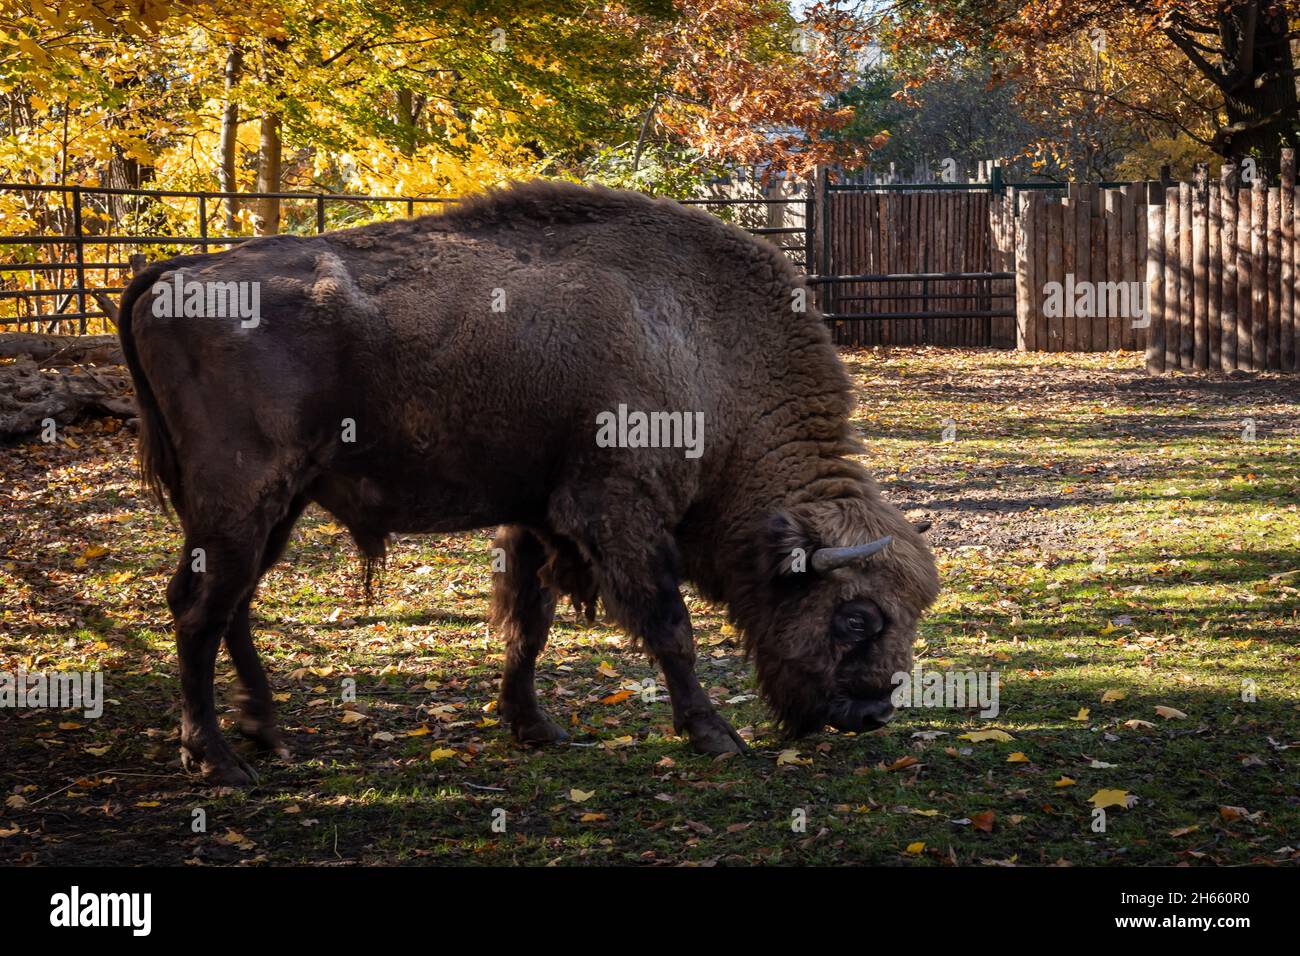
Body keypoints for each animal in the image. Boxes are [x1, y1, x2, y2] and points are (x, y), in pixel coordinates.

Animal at [117, 181, 939, 785]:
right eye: (854, 618)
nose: (873, 713)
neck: (700, 341)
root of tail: (174, 274)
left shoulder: (538, 518)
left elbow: (529, 622)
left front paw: (534, 726)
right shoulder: (618, 514)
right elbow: (668, 626)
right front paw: (714, 735)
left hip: (275, 506)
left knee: (232, 606)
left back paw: (266, 733)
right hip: (242, 501)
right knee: (198, 609)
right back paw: (217, 760)